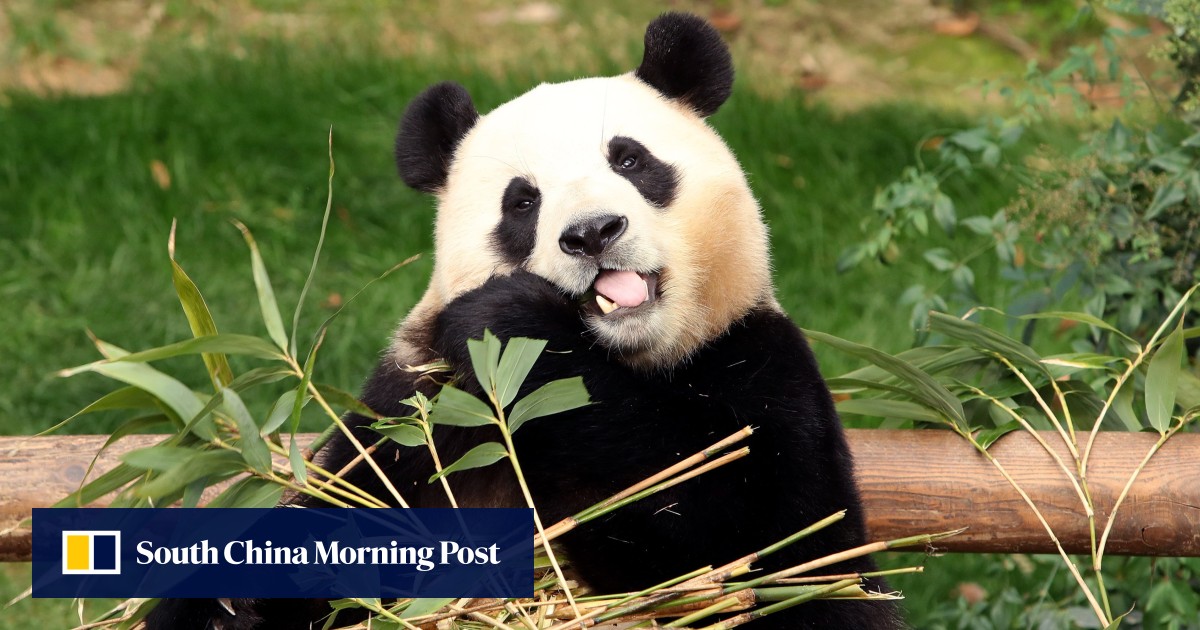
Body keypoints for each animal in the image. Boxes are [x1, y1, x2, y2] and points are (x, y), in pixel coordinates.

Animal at [147, 13, 904, 630]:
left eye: (630, 159)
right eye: (522, 201)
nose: (593, 233)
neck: (627, 356)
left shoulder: (760, 364)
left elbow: (748, 546)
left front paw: (517, 325)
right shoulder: (417, 413)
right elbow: (342, 523)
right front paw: (230, 604)